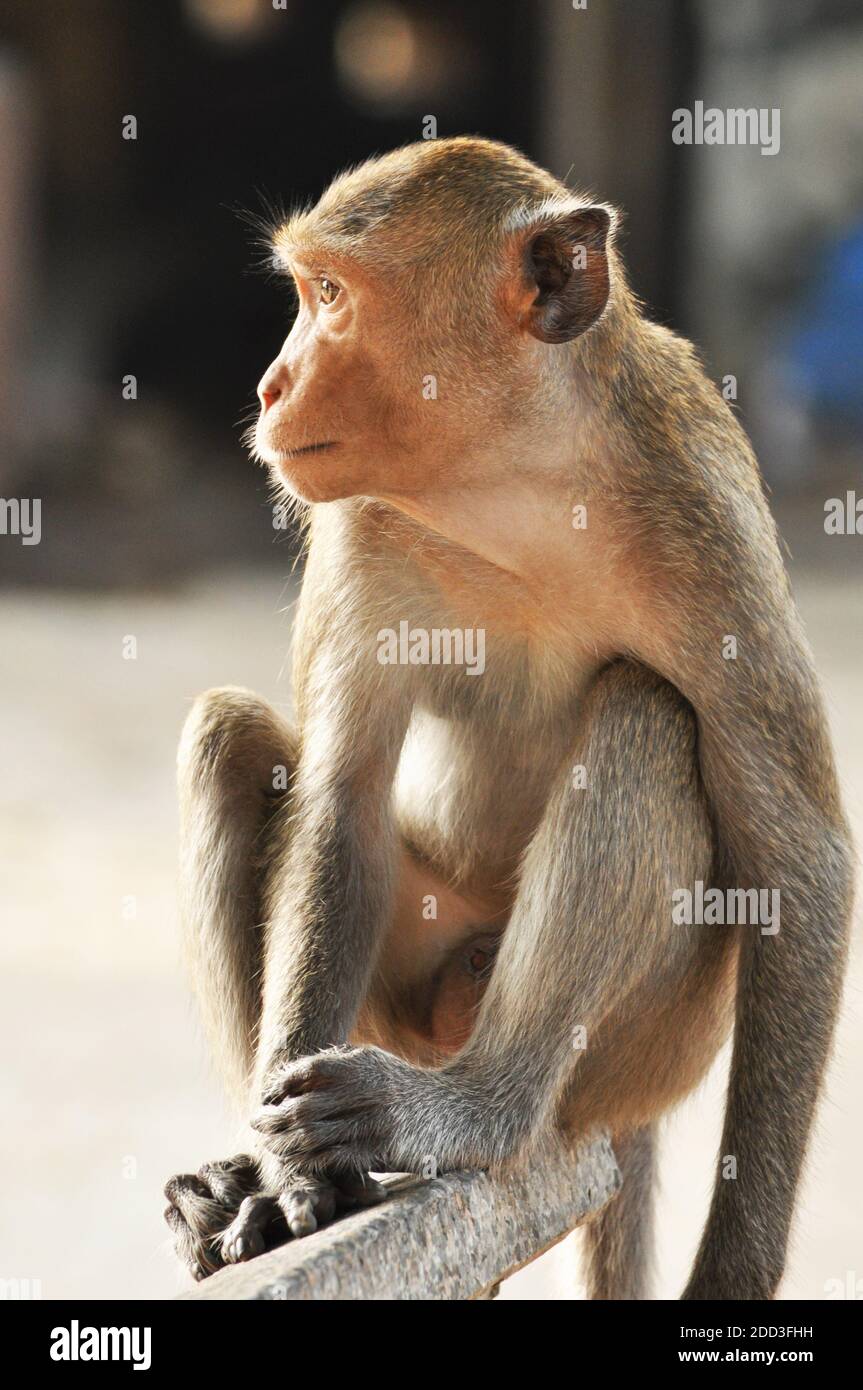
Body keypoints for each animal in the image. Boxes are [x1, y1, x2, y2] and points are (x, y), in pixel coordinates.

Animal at [163, 137, 852, 1300]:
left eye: (331, 297)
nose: (270, 385)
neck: (513, 483)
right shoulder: (360, 523)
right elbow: (342, 799)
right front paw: (274, 1177)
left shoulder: (707, 518)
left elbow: (798, 858)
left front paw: (733, 1274)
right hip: (401, 1004)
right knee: (228, 739)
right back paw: (264, 1174)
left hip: (644, 1047)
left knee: (644, 718)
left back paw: (475, 1111)